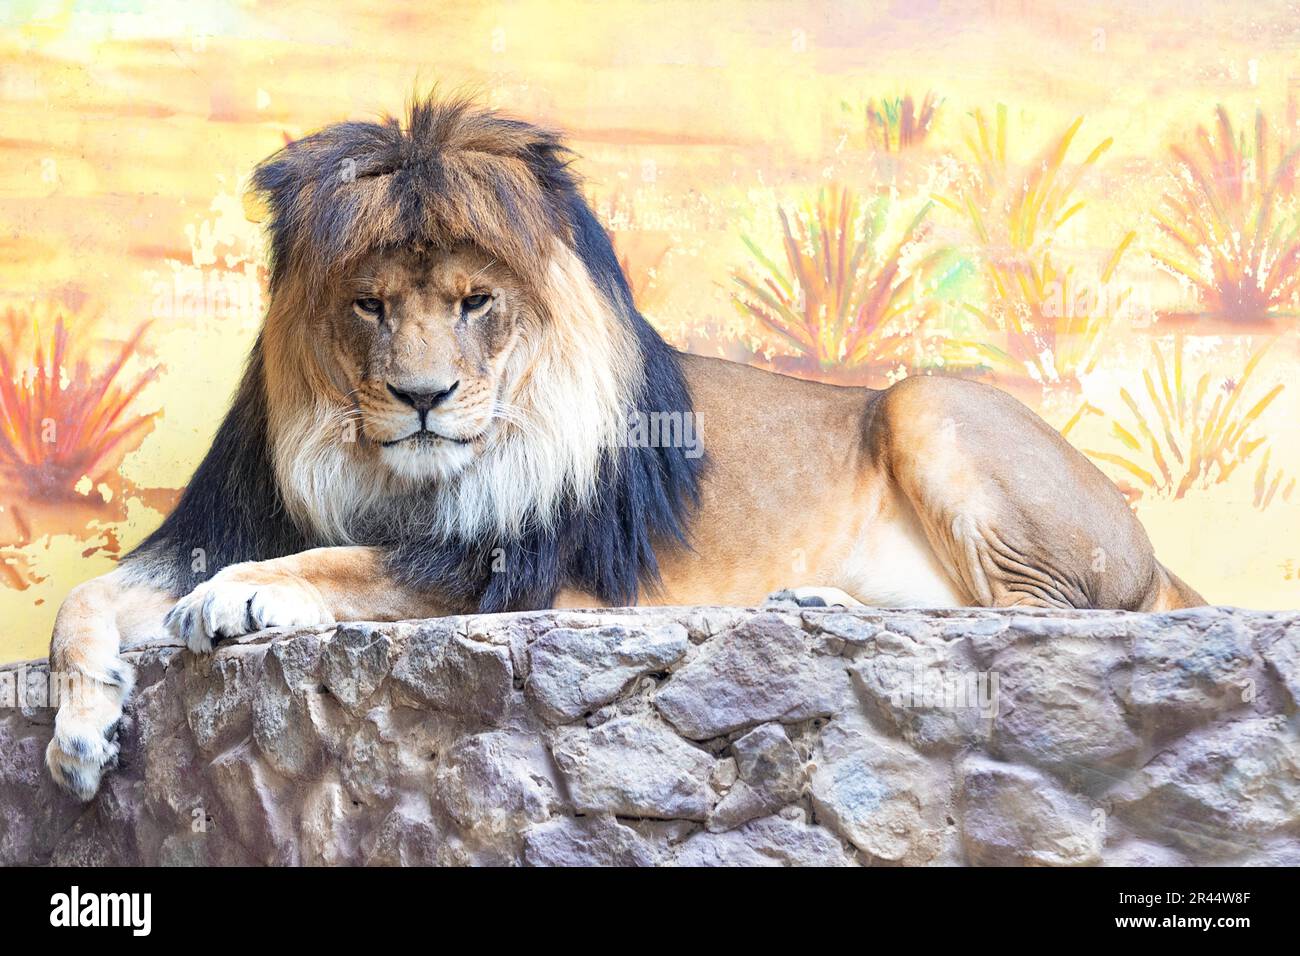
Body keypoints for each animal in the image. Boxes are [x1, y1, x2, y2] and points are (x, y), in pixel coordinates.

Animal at [45, 95, 1204, 799]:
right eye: (370, 306)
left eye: (474, 302)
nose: (422, 397)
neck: (374, 460)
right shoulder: (227, 514)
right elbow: (83, 601)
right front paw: (79, 733)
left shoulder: (503, 561)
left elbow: (346, 560)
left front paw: (243, 593)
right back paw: (815, 600)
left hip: (925, 402)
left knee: (1035, 616)